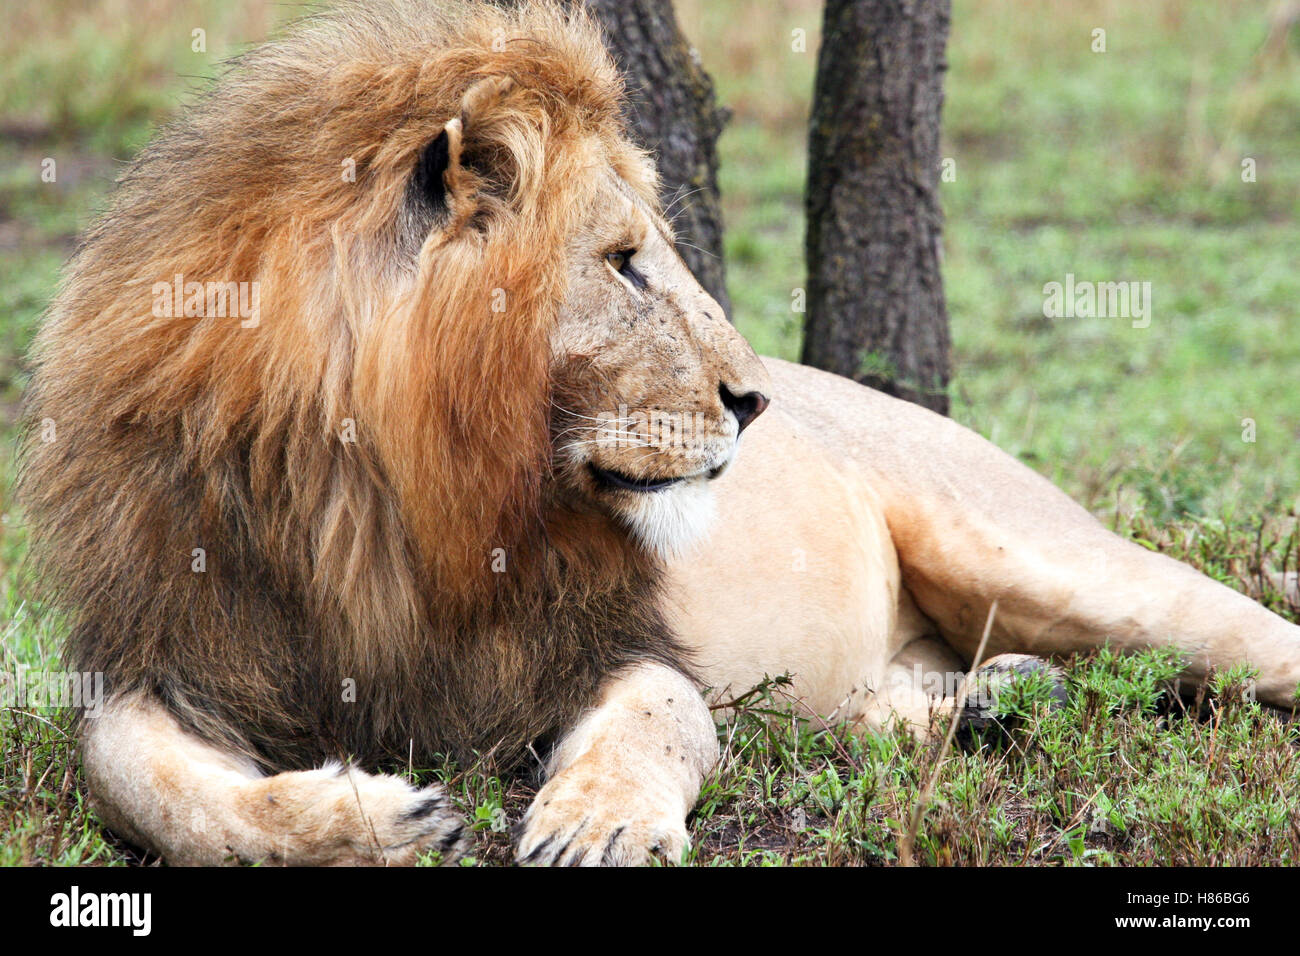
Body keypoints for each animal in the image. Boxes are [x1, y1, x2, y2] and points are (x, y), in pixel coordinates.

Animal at [18, 0, 1300, 867]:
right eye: (626, 262)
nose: (755, 398)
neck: (384, 488)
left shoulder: (613, 636)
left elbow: (654, 721)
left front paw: (595, 822)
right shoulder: (169, 642)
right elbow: (140, 781)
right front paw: (371, 819)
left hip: (1059, 562)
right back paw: (991, 699)